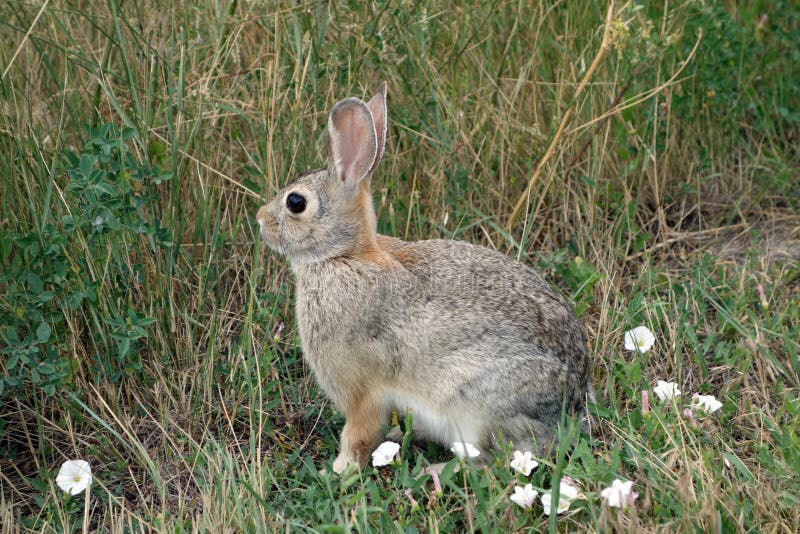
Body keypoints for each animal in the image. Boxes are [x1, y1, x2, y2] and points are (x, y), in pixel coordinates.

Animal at [256, 83, 592, 474]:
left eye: (296, 203)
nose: (260, 219)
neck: (343, 256)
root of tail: (569, 412)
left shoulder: (361, 390)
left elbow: (357, 434)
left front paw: (337, 471)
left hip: (472, 404)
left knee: (488, 462)